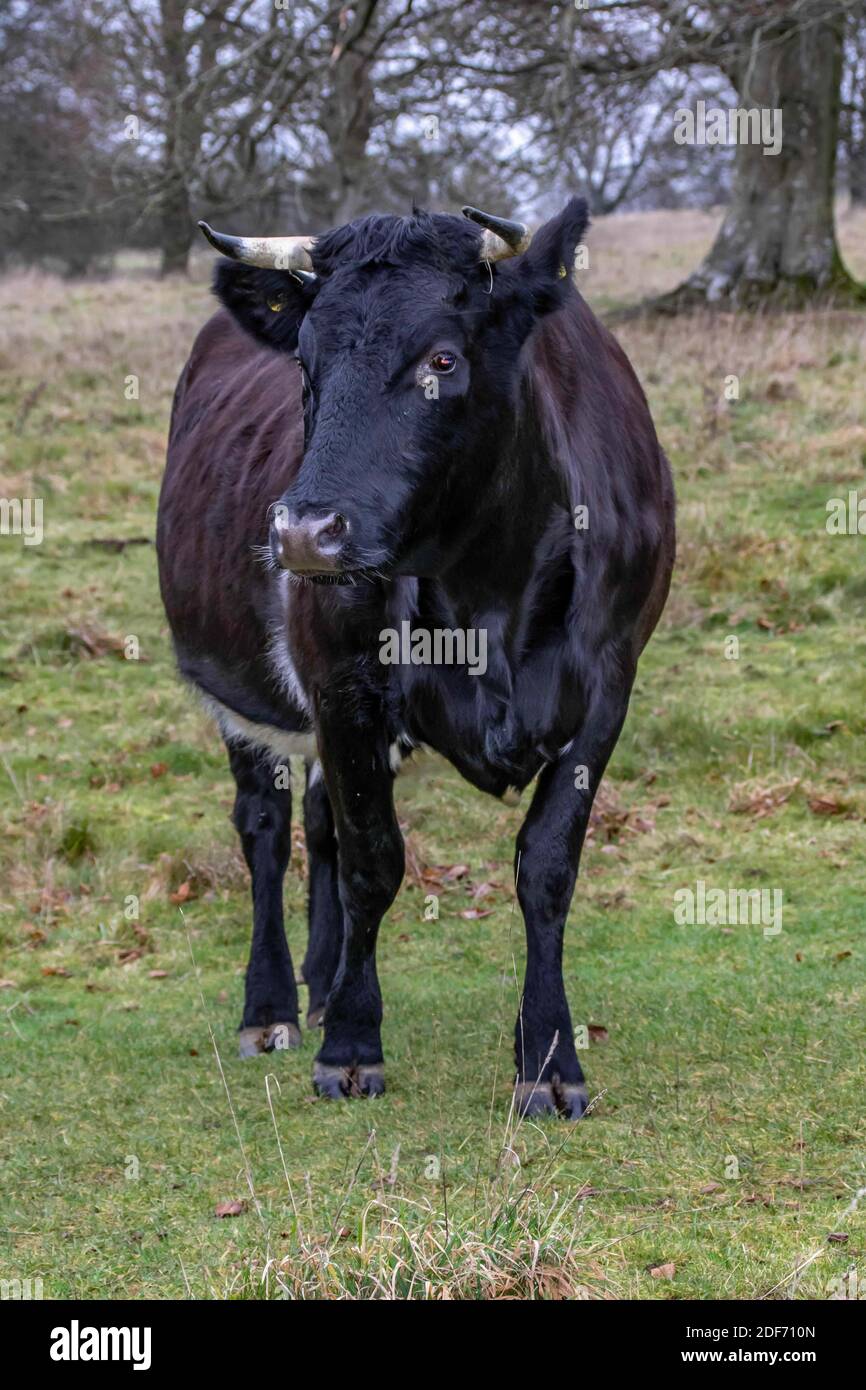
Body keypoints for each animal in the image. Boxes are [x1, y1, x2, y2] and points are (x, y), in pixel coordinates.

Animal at [157, 199, 675, 1118]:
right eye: (306, 359)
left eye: (442, 358)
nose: (305, 532)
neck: (488, 586)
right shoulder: (343, 685)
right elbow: (375, 860)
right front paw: (351, 1045)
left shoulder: (607, 686)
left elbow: (546, 865)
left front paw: (549, 1058)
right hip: (241, 693)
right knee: (266, 829)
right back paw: (275, 1007)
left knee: (317, 824)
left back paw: (322, 980)